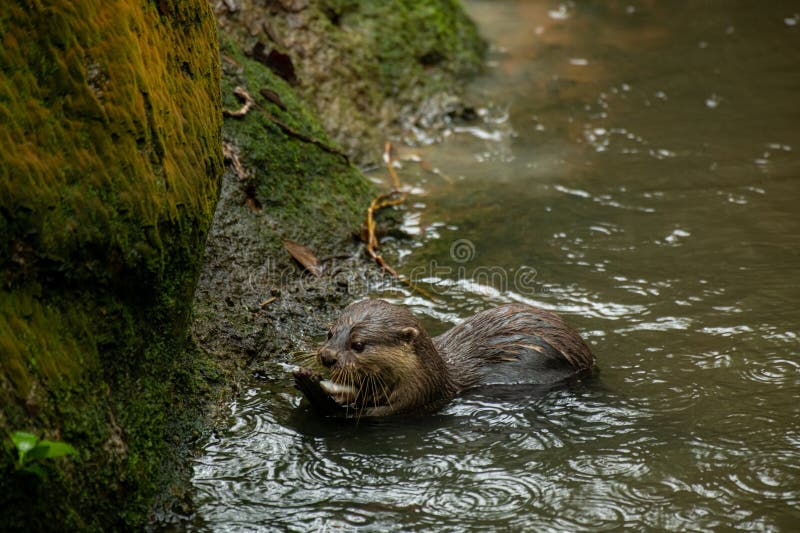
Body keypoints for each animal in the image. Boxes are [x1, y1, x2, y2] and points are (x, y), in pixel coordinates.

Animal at [293, 299, 594, 417]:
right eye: (330, 333)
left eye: (358, 344)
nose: (328, 357)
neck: (432, 373)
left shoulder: (418, 395)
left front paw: (314, 388)